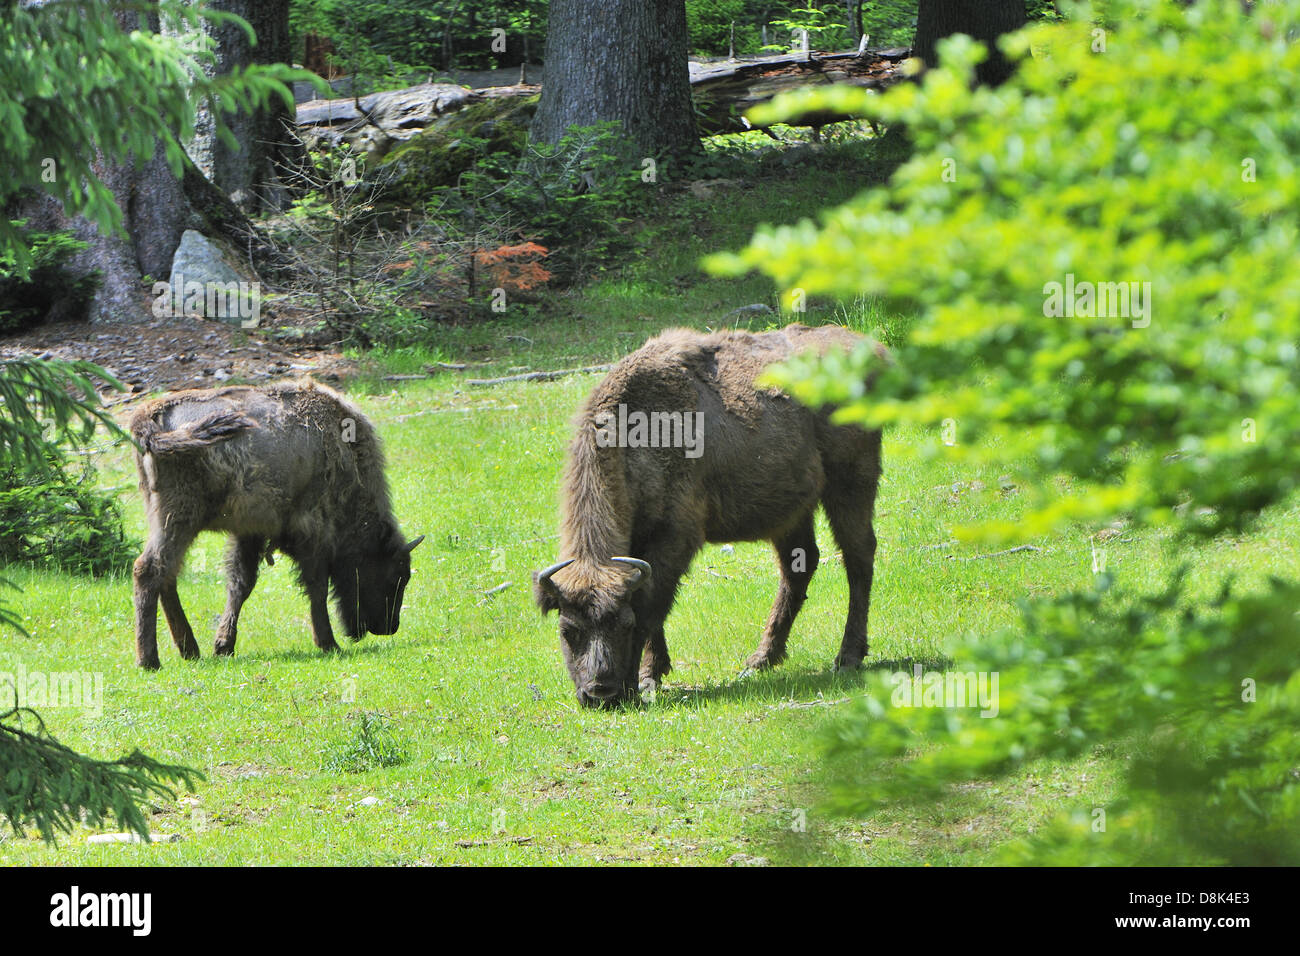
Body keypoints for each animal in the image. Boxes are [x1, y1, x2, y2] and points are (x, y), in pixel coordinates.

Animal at [129, 379, 423, 669]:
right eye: (395, 576)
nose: (389, 627)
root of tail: (147, 417)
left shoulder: (249, 533)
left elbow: (241, 585)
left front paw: (223, 646)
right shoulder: (312, 532)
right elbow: (316, 586)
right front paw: (328, 643)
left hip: (168, 521)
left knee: (167, 575)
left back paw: (189, 650)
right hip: (179, 519)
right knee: (149, 570)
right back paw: (149, 660)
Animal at [533, 323, 885, 706]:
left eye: (623, 624)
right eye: (568, 631)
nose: (601, 693)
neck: (633, 439)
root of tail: (871, 349)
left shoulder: (674, 539)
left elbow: (652, 608)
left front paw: (645, 679)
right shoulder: (641, 547)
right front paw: (653, 674)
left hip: (850, 486)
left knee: (858, 557)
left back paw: (847, 657)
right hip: (792, 510)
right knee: (801, 566)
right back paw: (760, 659)